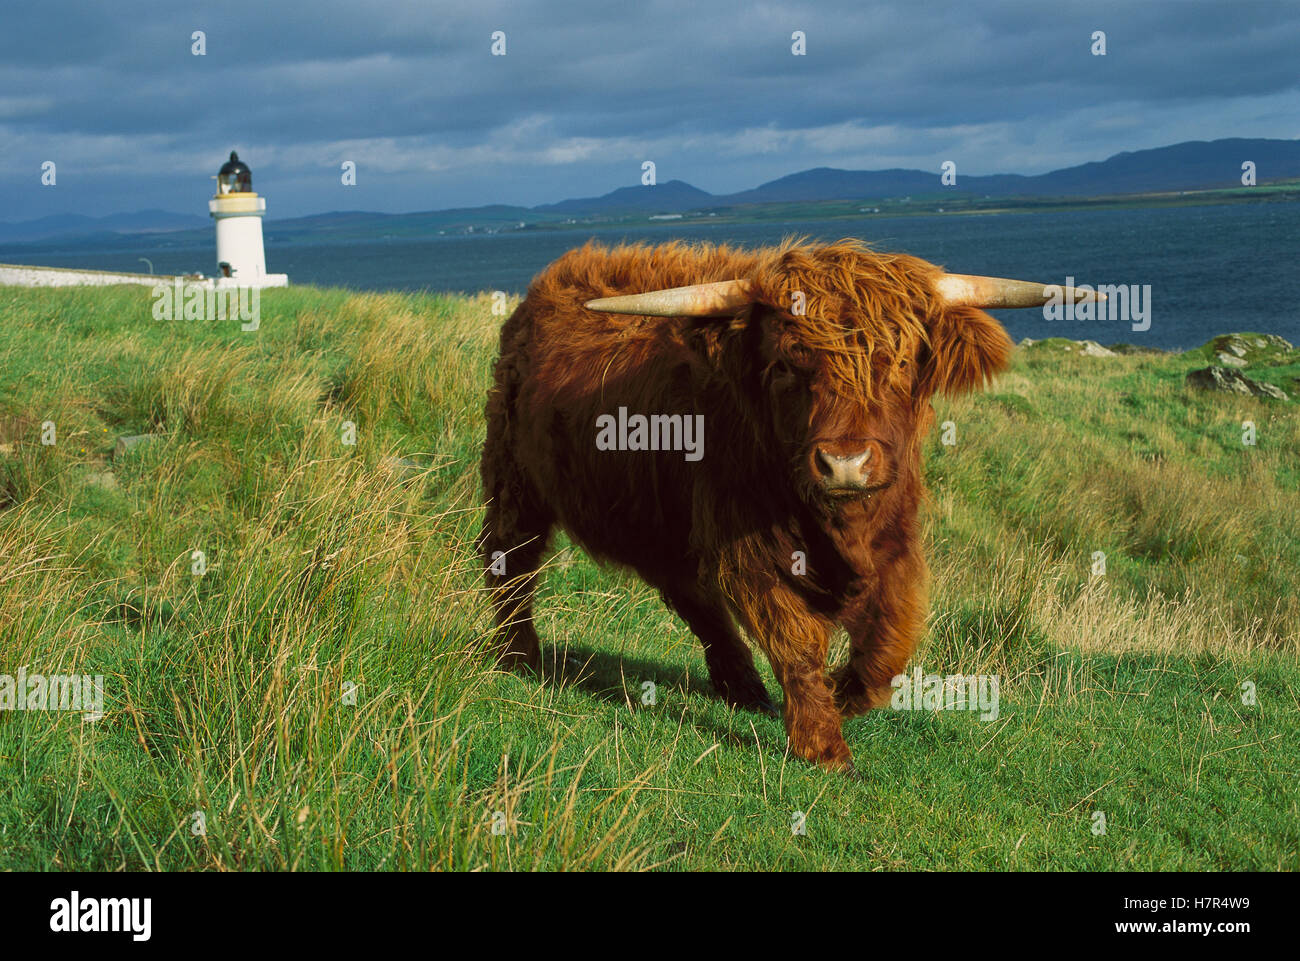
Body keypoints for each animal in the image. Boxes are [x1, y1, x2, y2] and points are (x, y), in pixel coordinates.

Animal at [479, 238, 1099, 772]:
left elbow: (891, 640)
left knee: (689, 593)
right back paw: (518, 655)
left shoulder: (897, 540)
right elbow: (796, 640)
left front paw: (847, 695)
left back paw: (742, 687)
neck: (838, 527)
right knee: (510, 559)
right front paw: (823, 745)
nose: (845, 463)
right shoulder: (749, 545)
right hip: (514, 478)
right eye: (785, 367)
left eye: (901, 362)